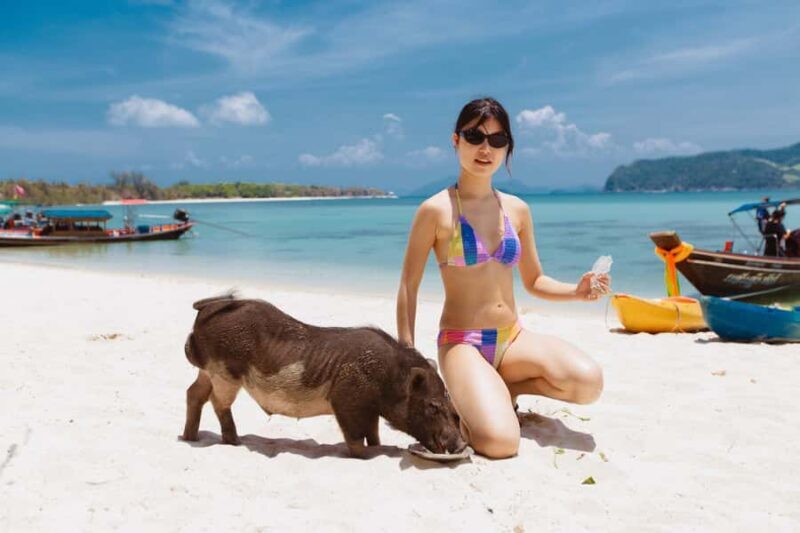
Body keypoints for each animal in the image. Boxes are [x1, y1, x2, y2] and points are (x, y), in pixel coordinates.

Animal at [181, 294, 466, 458]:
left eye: (449, 403)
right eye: (433, 406)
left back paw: (189, 438)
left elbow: (373, 432)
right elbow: (356, 441)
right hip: (225, 374)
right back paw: (235, 442)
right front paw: (376, 452)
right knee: (217, 402)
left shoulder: (370, 410)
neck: (389, 378)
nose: (462, 445)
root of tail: (208, 307)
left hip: (208, 371)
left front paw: (378, 445)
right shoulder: (347, 400)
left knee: (194, 394)